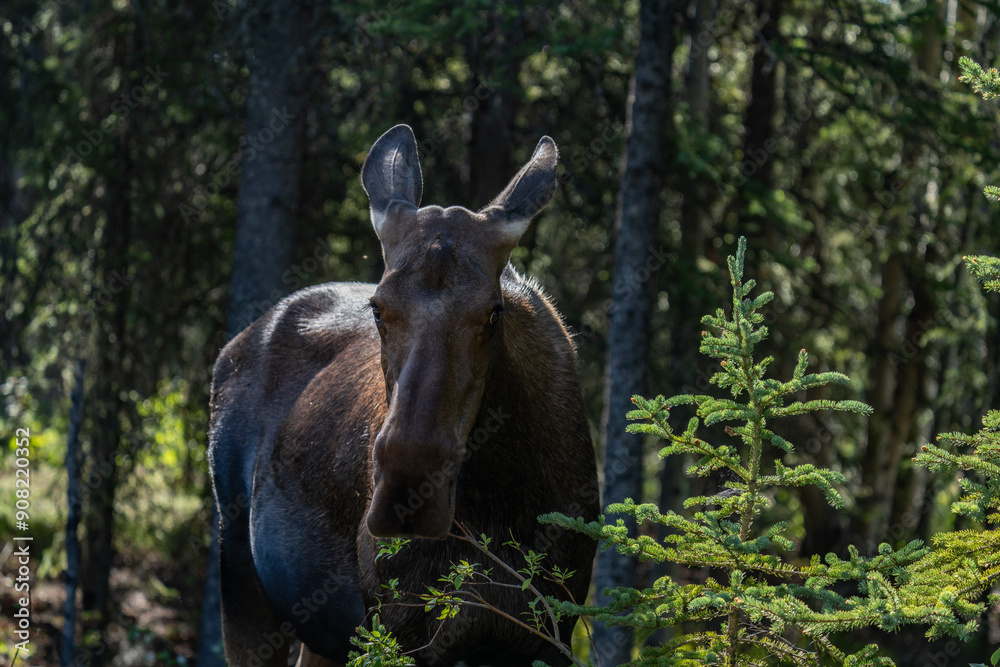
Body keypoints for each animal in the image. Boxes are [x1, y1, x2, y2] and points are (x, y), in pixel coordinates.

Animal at [208, 124, 599, 666]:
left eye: (493, 311)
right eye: (377, 306)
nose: (408, 490)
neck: (497, 506)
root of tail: (233, 347)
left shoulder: (552, 624)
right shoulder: (402, 627)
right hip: (240, 577)